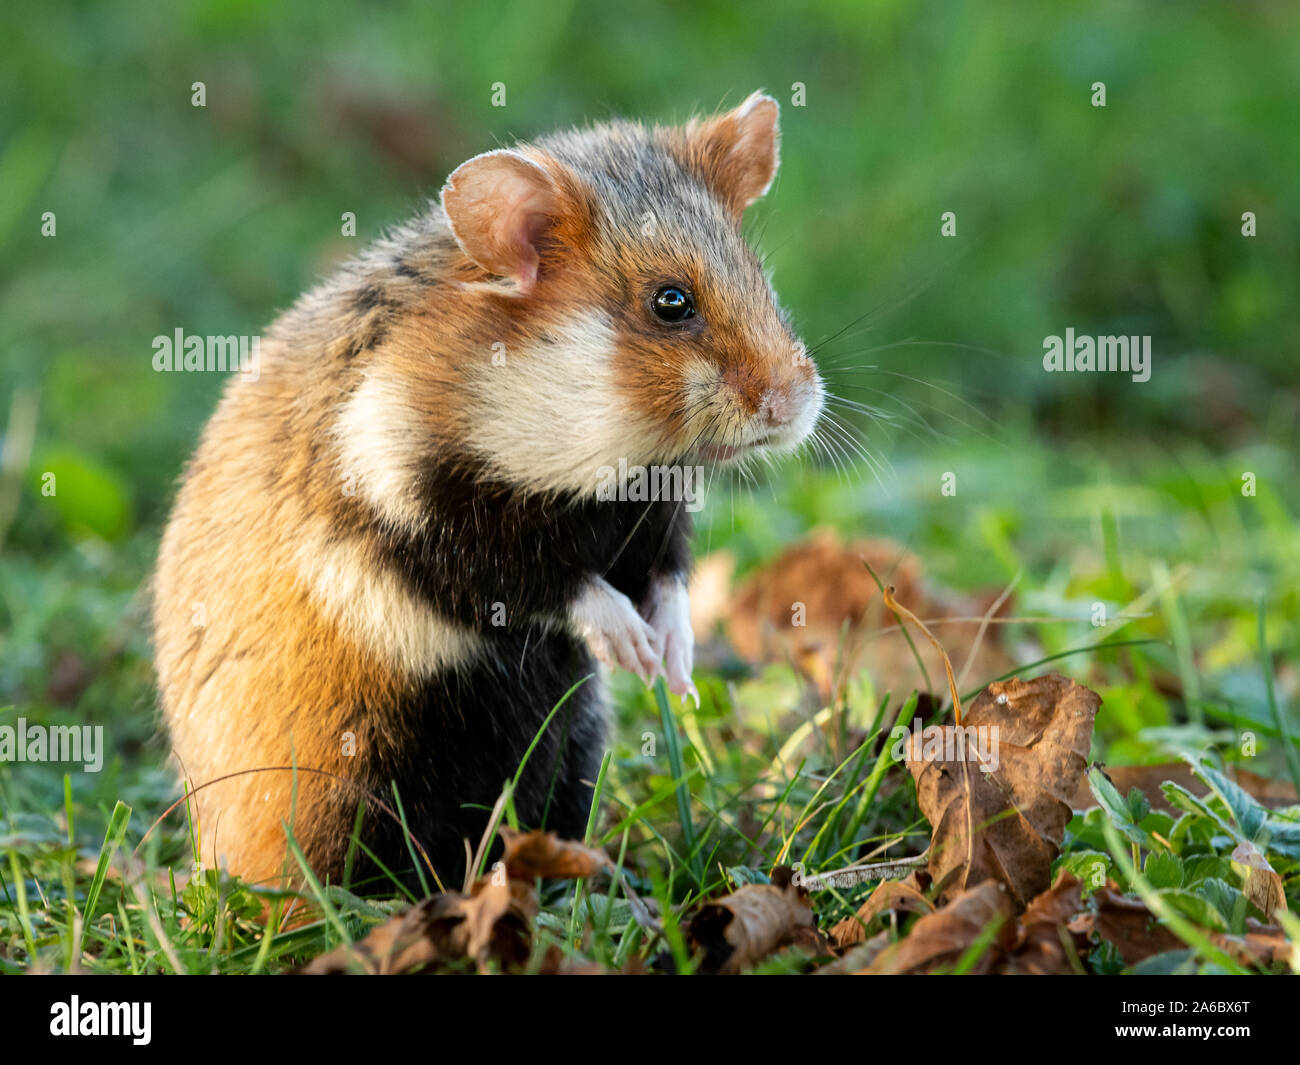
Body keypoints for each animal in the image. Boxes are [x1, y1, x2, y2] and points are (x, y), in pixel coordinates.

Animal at [151, 91, 824, 892]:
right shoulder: (419, 517)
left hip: (574, 735)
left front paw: (674, 666)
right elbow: (547, 580)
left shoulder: (652, 515)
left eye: (760, 277)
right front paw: (634, 647)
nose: (796, 406)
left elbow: (668, 582)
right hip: (349, 774)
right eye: (671, 303)